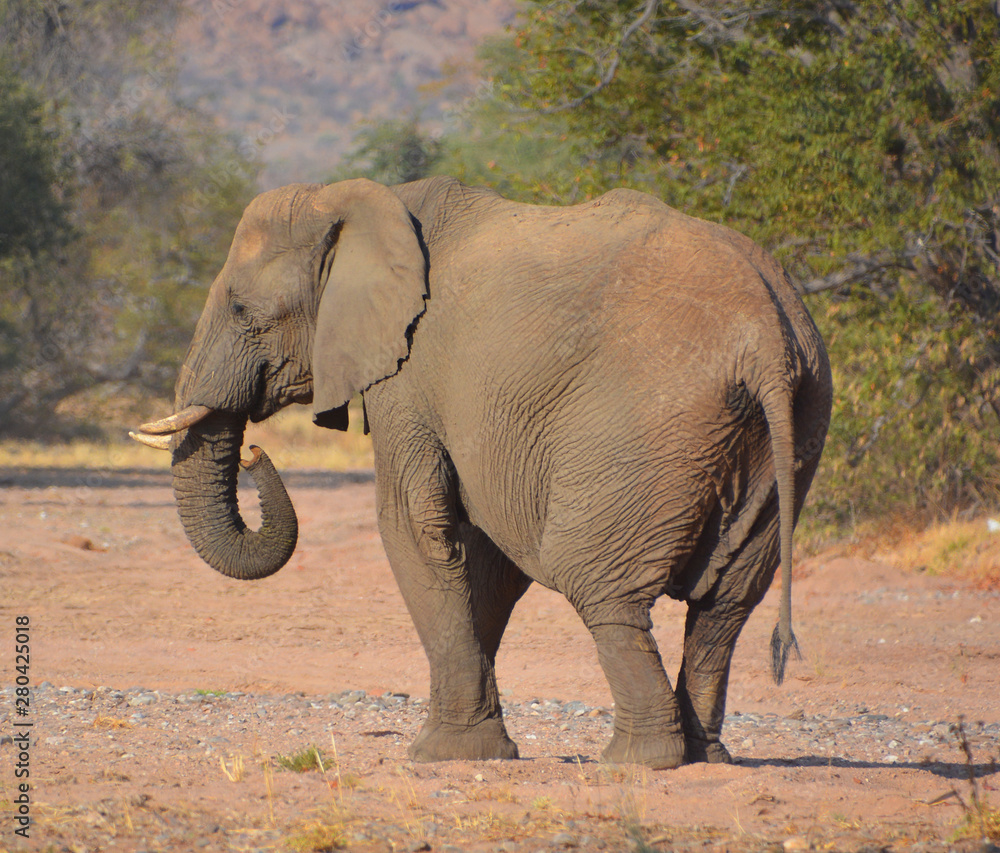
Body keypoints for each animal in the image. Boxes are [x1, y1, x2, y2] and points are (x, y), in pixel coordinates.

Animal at [132, 176, 832, 769]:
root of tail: (765, 338)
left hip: (645, 424)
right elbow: (483, 556)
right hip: (795, 427)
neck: (356, 199)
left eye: (241, 308)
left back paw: (636, 761)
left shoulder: (409, 375)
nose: (255, 453)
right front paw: (482, 749)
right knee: (726, 602)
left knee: (601, 585)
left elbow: (412, 526)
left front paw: (442, 756)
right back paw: (706, 757)